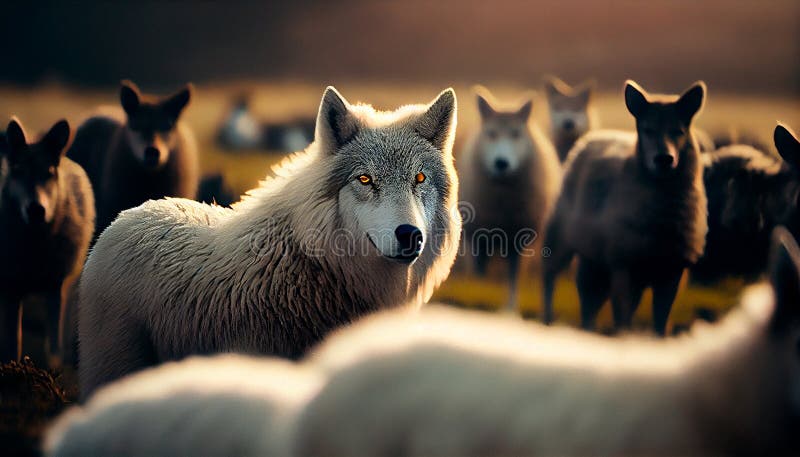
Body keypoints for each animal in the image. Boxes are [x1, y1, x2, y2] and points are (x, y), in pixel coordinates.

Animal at [0, 118, 94, 365]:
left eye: (50, 172)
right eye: (18, 170)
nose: (35, 209)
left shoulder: (56, 286)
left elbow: (54, 347)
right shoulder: (11, 288)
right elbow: (13, 343)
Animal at [459, 87, 561, 310]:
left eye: (516, 134)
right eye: (491, 133)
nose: (501, 163)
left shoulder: (518, 242)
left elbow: (513, 280)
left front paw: (511, 308)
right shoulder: (478, 241)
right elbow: (480, 276)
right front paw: (479, 295)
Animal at [542, 81, 707, 335]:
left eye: (679, 131)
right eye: (647, 129)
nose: (664, 159)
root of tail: (595, 137)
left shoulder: (671, 272)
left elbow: (660, 323)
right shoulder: (623, 266)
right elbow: (622, 317)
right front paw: (623, 337)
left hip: (595, 259)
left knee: (589, 303)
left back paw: (587, 330)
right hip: (562, 239)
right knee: (551, 279)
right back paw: (548, 321)